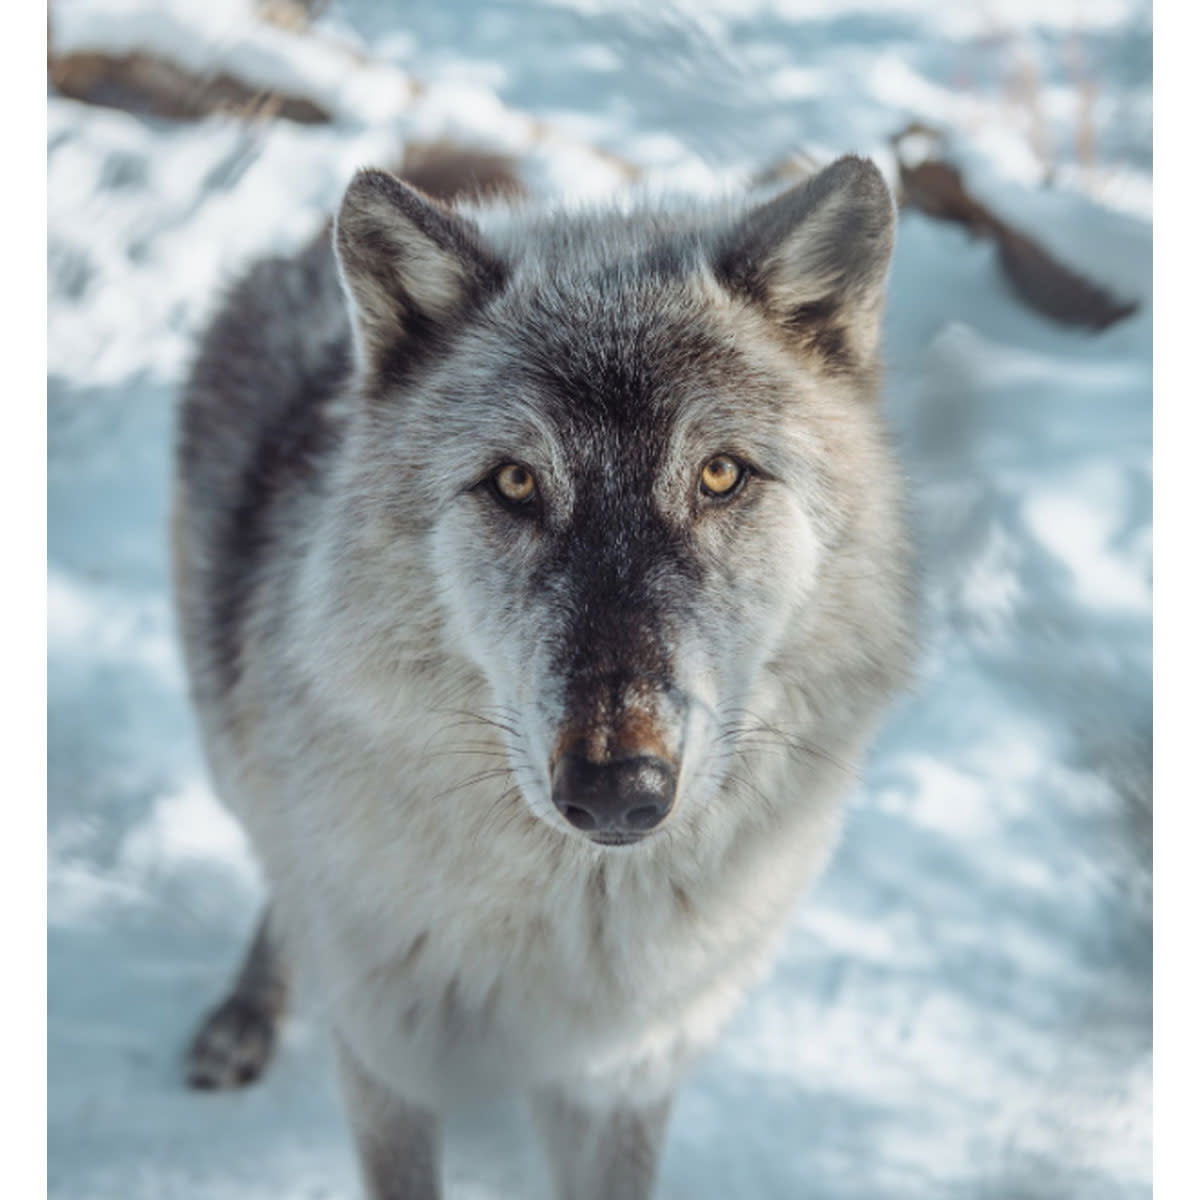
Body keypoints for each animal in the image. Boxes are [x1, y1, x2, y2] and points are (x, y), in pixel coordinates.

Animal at [172, 147, 914, 1199]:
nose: (615, 785)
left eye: (720, 475)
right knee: (279, 881)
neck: (580, 914)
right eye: (517, 482)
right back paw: (245, 1015)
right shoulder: (386, 1066)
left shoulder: (625, 1080)